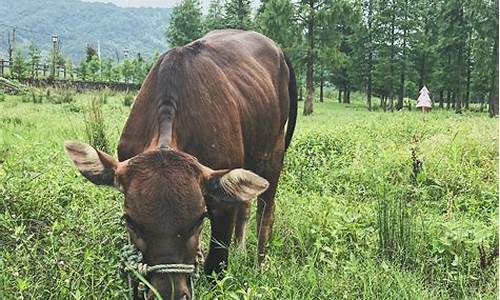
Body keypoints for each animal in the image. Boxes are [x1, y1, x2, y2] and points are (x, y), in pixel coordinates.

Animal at [64, 28, 294, 300]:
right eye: (130, 220)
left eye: (199, 219)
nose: (170, 292)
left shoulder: (220, 201)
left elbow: (215, 267)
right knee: (245, 207)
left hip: (274, 153)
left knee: (265, 214)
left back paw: (259, 264)